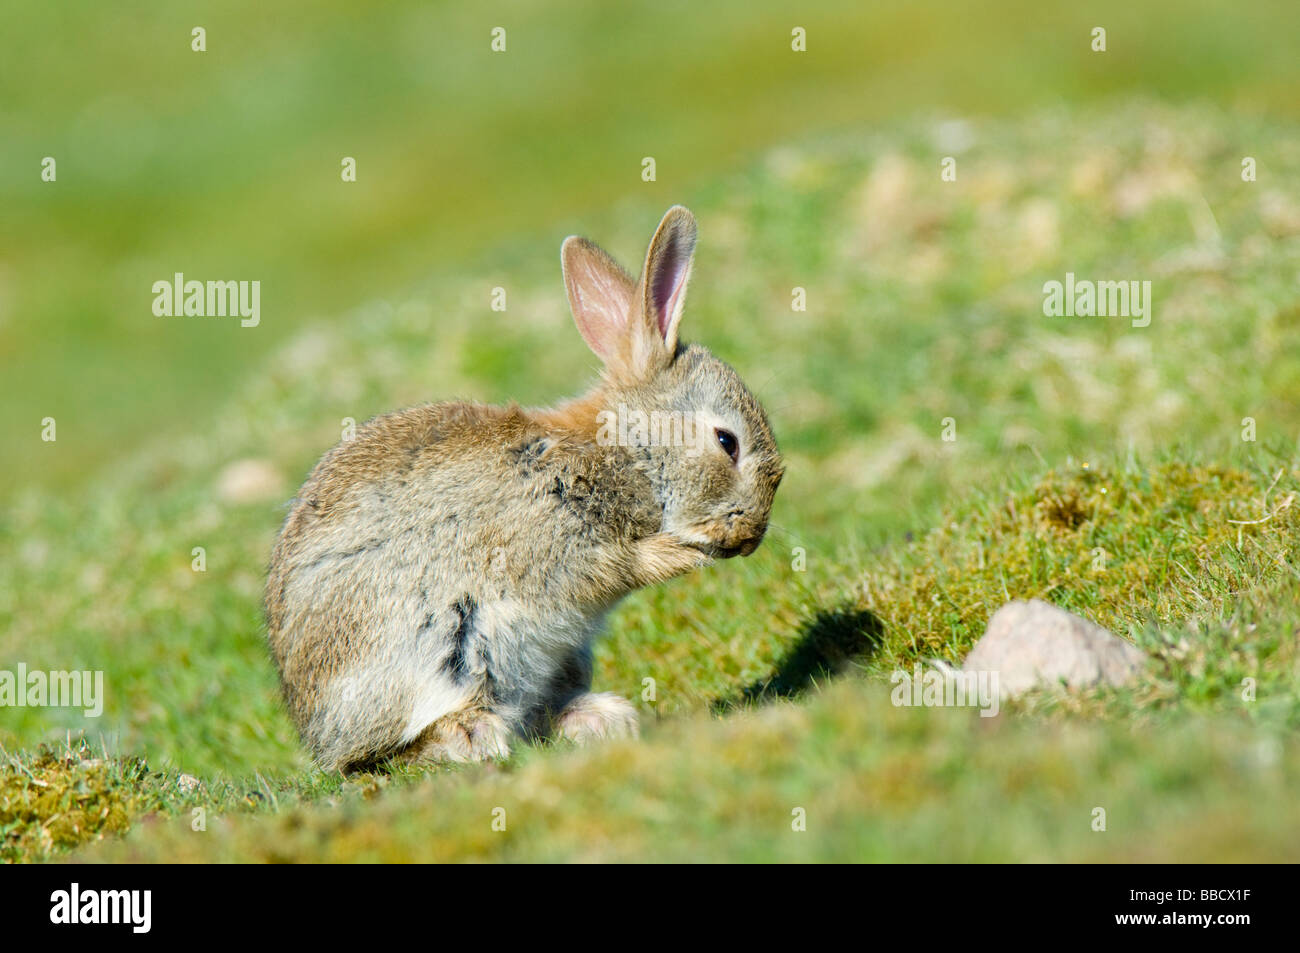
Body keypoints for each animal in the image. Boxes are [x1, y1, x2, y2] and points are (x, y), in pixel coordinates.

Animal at [265, 206, 784, 772]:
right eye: (727, 442)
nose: (751, 536)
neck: (619, 452)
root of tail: (316, 732)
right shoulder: (546, 540)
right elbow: (612, 567)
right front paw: (679, 555)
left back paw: (598, 718)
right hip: (433, 650)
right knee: (383, 753)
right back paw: (470, 736)